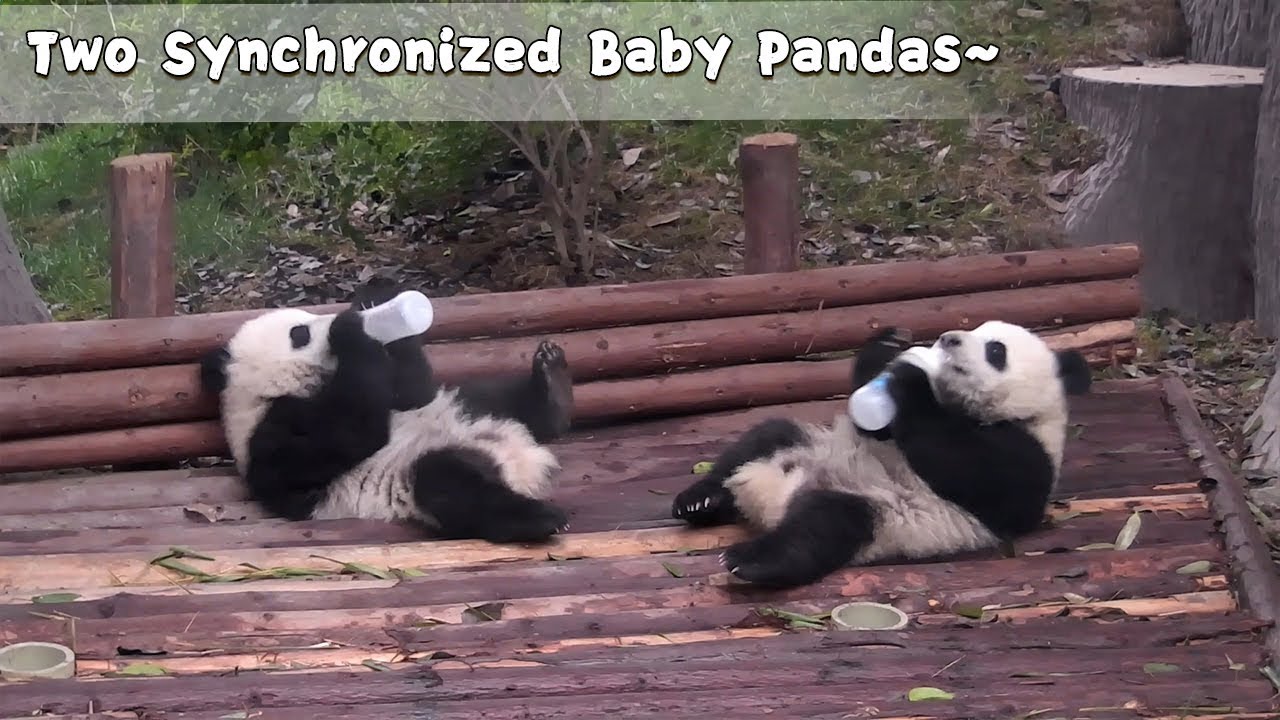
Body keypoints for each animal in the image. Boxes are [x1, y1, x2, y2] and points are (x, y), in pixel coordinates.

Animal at [197, 283, 575, 545]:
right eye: (299, 333)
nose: (333, 318)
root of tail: (519, 458)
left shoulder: (406, 399)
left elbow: (412, 392)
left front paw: (377, 293)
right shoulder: (273, 436)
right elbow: (351, 433)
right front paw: (351, 329)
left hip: (467, 408)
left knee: (492, 398)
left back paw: (552, 385)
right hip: (411, 478)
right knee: (448, 484)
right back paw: (539, 519)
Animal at [670, 320, 1093, 588]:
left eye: (995, 350)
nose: (947, 340)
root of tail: (770, 500)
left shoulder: (1028, 453)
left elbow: (972, 471)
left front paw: (912, 377)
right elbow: (876, 427)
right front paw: (887, 347)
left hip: (889, 517)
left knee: (824, 525)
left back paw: (751, 560)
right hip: (809, 443)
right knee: (763, 439)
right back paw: (702, 500)